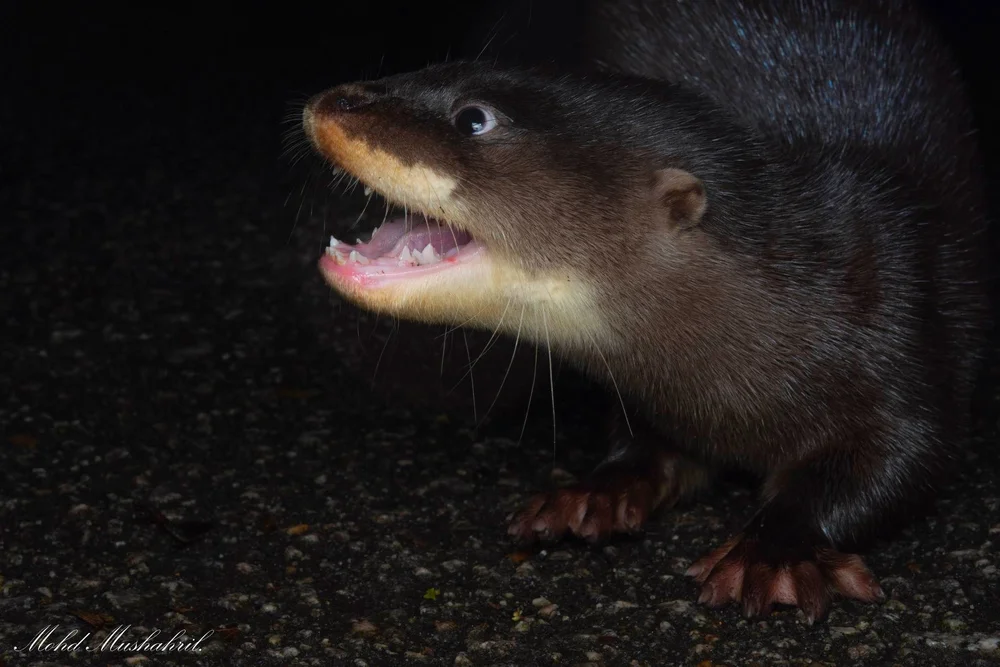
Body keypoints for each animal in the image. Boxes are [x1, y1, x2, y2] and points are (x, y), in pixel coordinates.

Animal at [301, 0, 988, 622]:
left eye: (474, 118)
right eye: (429, 67)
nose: (335, 100)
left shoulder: (905, 319)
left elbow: (906, 459)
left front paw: (771, 552)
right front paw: (596, 492)